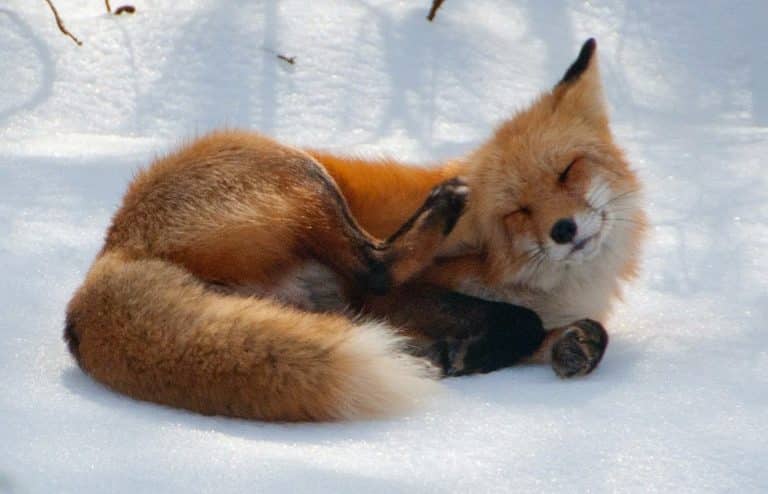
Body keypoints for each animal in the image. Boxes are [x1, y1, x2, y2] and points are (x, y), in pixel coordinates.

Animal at [64, 39, 645, 421]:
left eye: (567, 171)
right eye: (518, 211)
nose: (565, 230)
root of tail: (112, 248)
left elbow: (582, 331)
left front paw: (569, 346)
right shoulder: (403, 299)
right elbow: (517, 320)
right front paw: (468, 354)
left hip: (311, 295)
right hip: (303, 181)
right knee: (375, 266)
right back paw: (441, 214)